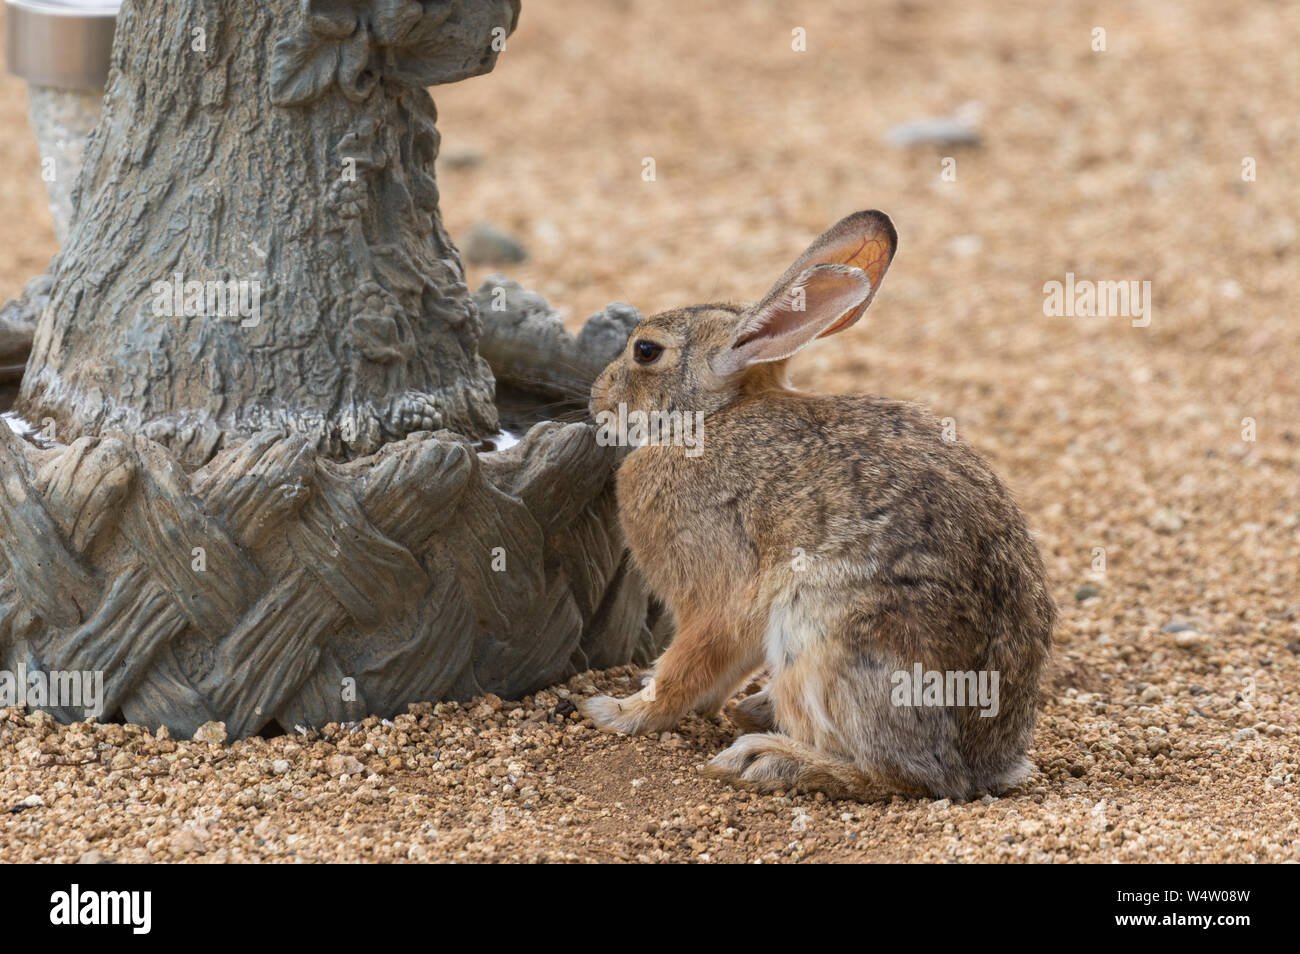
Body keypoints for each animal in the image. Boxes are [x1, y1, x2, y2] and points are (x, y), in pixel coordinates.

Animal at [579, 210, 1055, 800]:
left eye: (646, 351)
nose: (597, 397)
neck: (710, 418)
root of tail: (989, 764)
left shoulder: (717, 592)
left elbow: (689, 662)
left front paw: (618, 711)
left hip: (825, 643)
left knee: (906, 777)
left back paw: (766, 758)